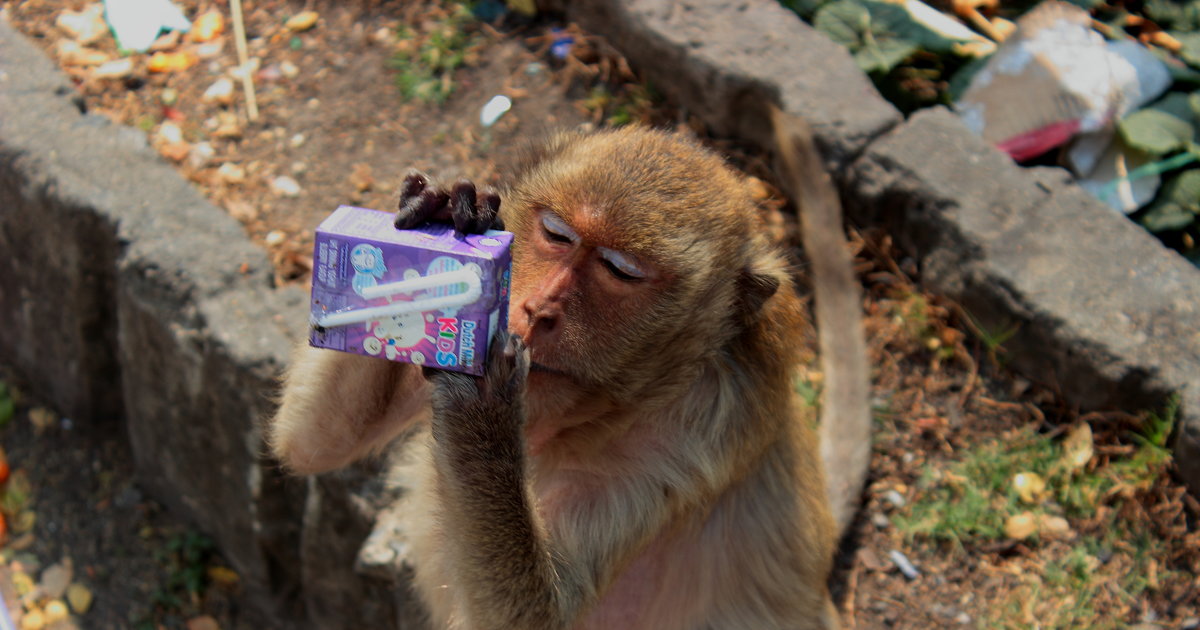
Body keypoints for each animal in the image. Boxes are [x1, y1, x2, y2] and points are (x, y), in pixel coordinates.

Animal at [269, 120, 865, 629]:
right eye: (557, 233)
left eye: (620, 271)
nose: (536, 310)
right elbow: (313, 444)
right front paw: (439, 210)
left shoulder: (686, 439)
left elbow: (535, 618)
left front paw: (485, 412)